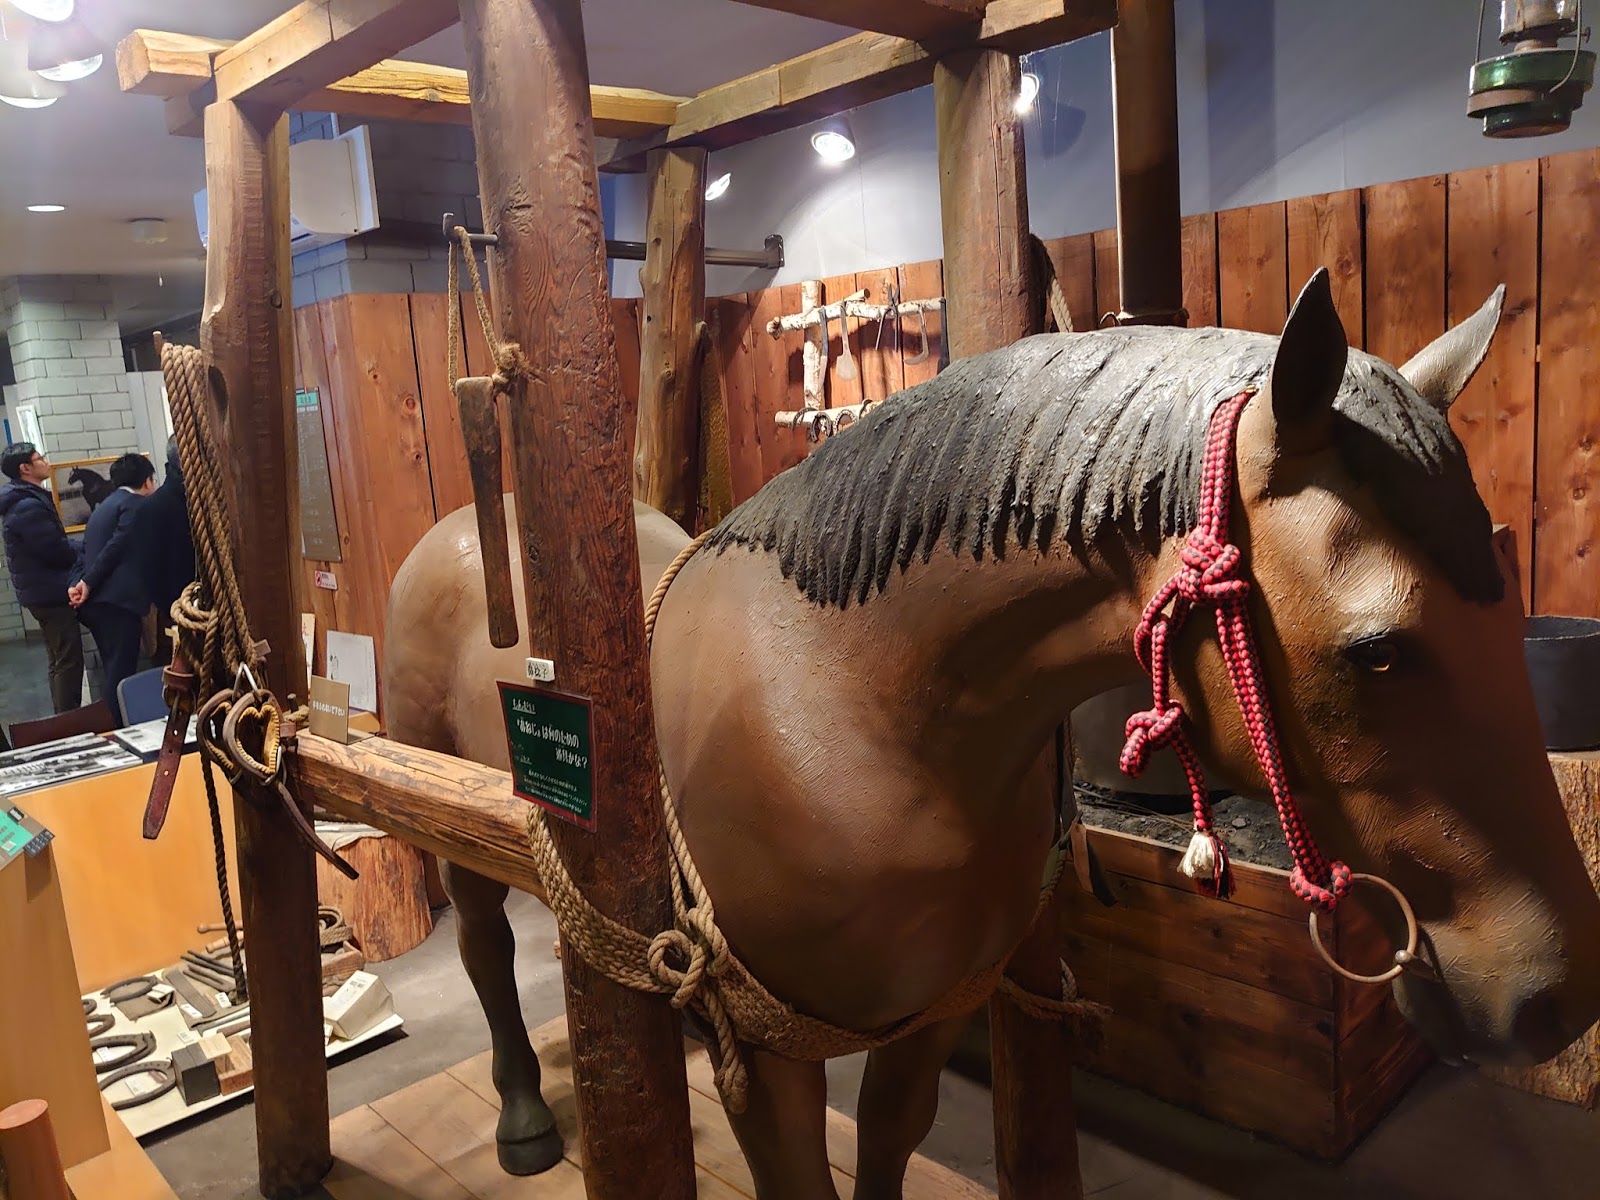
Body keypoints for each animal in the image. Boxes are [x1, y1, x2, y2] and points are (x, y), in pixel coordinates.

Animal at [382, 268, 1600, 1198]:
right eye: (1377, 650)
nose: (1557, 996)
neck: (850, 703)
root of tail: (464, 529)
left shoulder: (928, 1013)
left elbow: (889, 1141)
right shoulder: (765, 1054)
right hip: (452, 834)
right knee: (485, 949)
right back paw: (525, 1120)